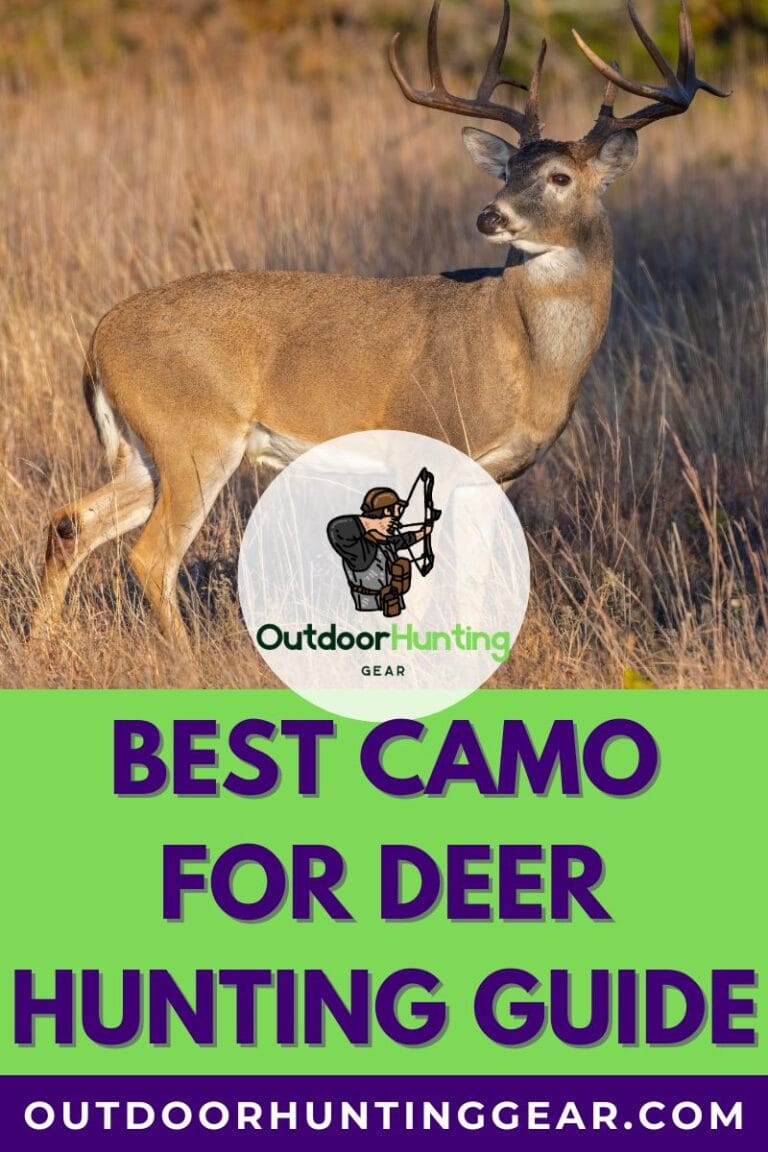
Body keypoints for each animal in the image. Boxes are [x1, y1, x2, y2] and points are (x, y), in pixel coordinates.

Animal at [31, 1, 727, 651]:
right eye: (508, 171)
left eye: (559, 177)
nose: (490, 215)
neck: (523, 355)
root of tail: (97, 341)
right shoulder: (426, 437)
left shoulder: (494, 475)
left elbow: (474, 583)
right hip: (194, 434)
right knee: (150, 555)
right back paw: (186, 661)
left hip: (143, 448)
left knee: (71, 521)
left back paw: (44, 643)